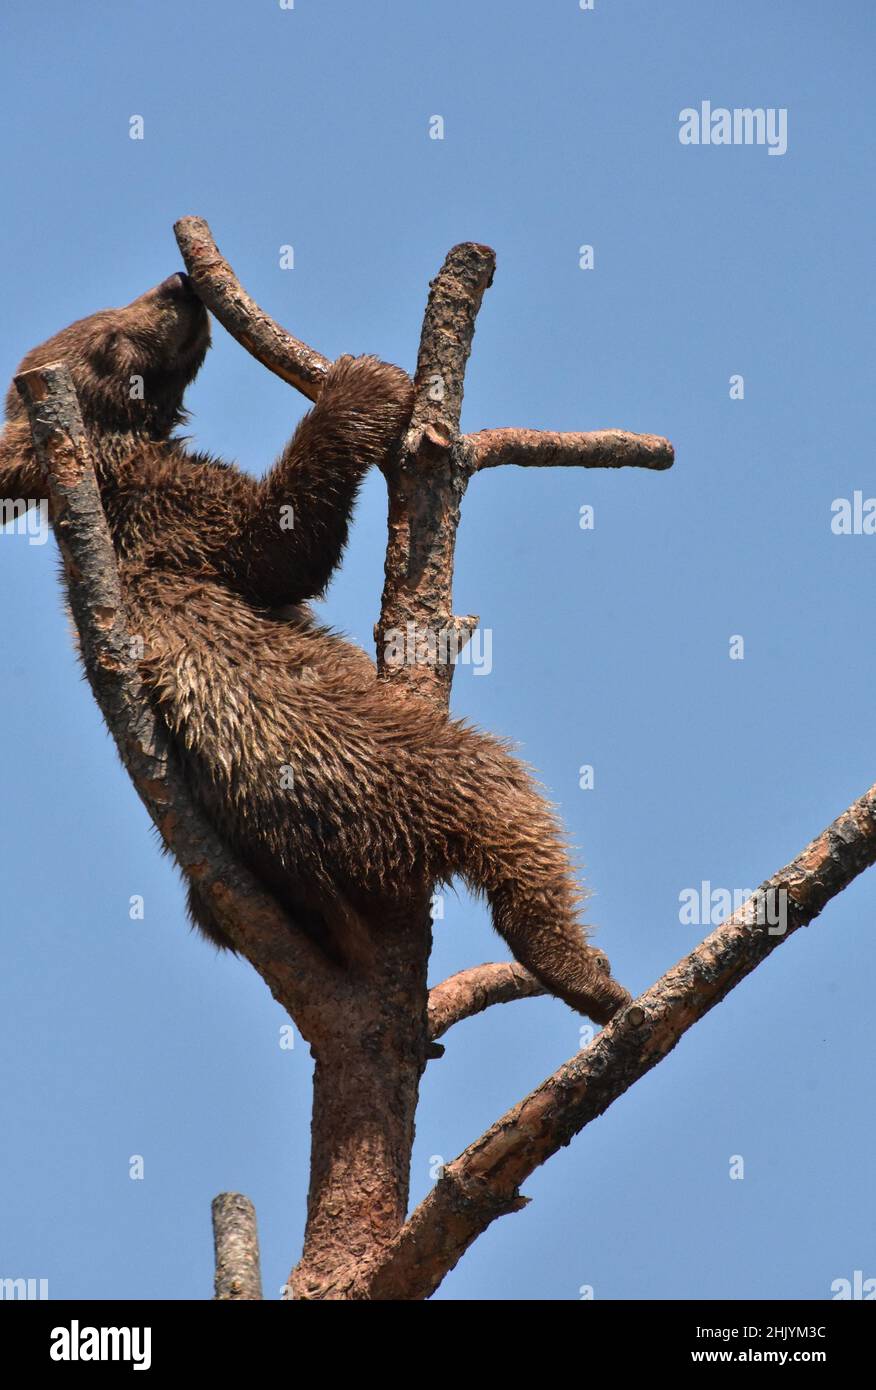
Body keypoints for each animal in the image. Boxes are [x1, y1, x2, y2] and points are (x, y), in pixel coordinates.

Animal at [1, 271, 631, 1024]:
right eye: (111, 339)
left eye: (107, 314)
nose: (179, 285)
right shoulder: (176, 518)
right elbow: (281, 544)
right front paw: (364, 384)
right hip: (360, 767)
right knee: (499, 796)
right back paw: (579, 968)